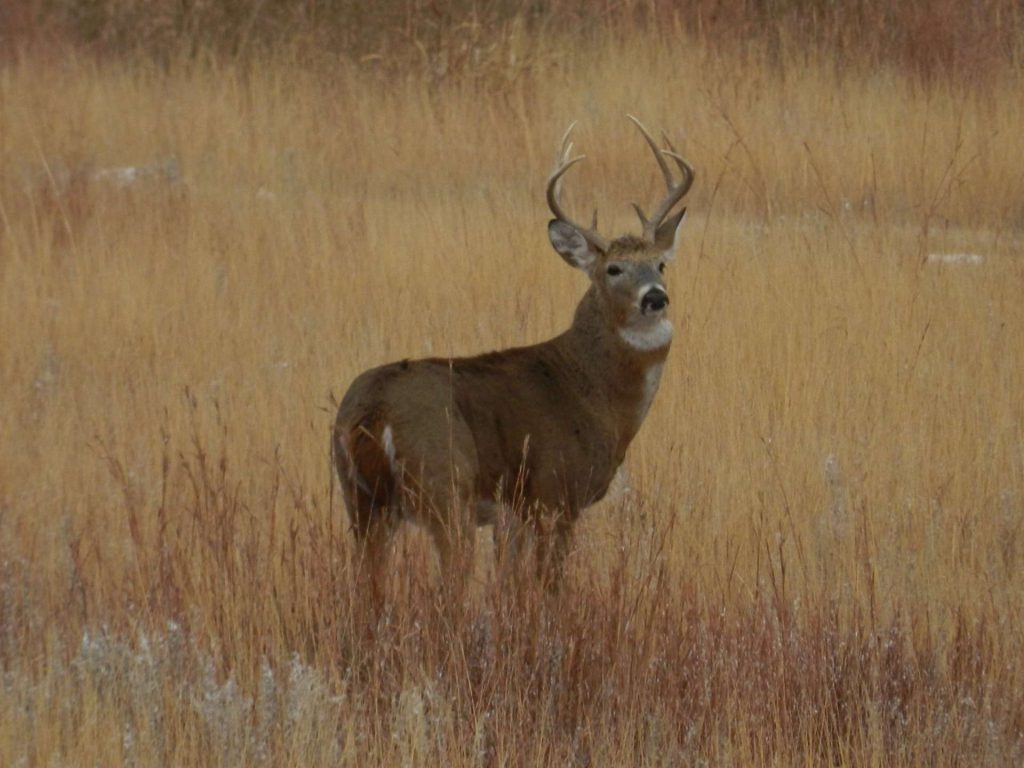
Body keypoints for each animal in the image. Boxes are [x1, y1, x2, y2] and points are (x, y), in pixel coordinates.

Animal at [333, 116, 694, 600]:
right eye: (613, 269)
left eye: (661, 265)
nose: (655, 297)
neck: (593, 391)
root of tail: (373, 411)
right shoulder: (555, 494)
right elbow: (549, 587)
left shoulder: (512, 514)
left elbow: (509, 586)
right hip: (445, 488)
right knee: (449, 585)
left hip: (361, 500)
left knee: (365, 587)